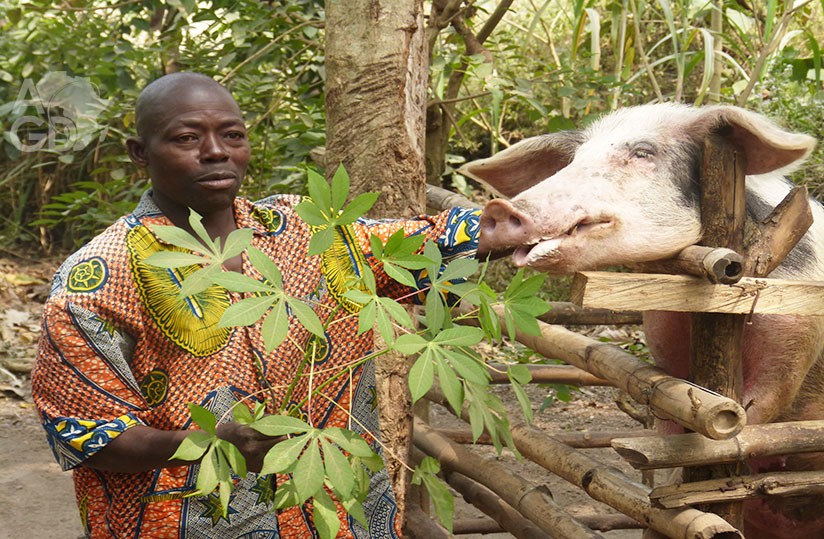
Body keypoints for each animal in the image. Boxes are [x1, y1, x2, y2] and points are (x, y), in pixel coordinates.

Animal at [461, 103, 824, 539]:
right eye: (574, 160)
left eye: (643, 153)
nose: (499, 209)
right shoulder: (664, 349)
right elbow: (669, 430)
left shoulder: (794, 334)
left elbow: (754, 413)